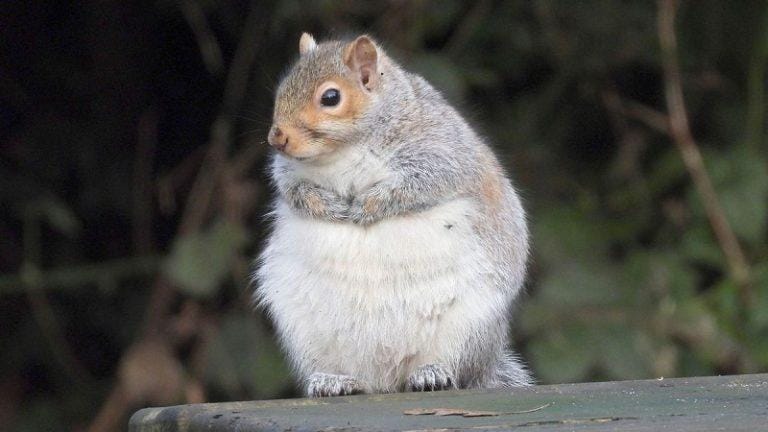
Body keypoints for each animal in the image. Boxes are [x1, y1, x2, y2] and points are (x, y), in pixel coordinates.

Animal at [255, 33, 531, 397]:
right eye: (283, 87)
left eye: (330, 97)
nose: (277, 137)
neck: (342, 151)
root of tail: (389, 378)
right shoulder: (288, 170)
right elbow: (293, 190)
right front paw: (327, 205)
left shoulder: (441, 150)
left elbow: (419, 184)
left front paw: (367, 205)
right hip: (305, 331)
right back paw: (334, 380)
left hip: (471, 324)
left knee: (455, 367)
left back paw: (432, 373)